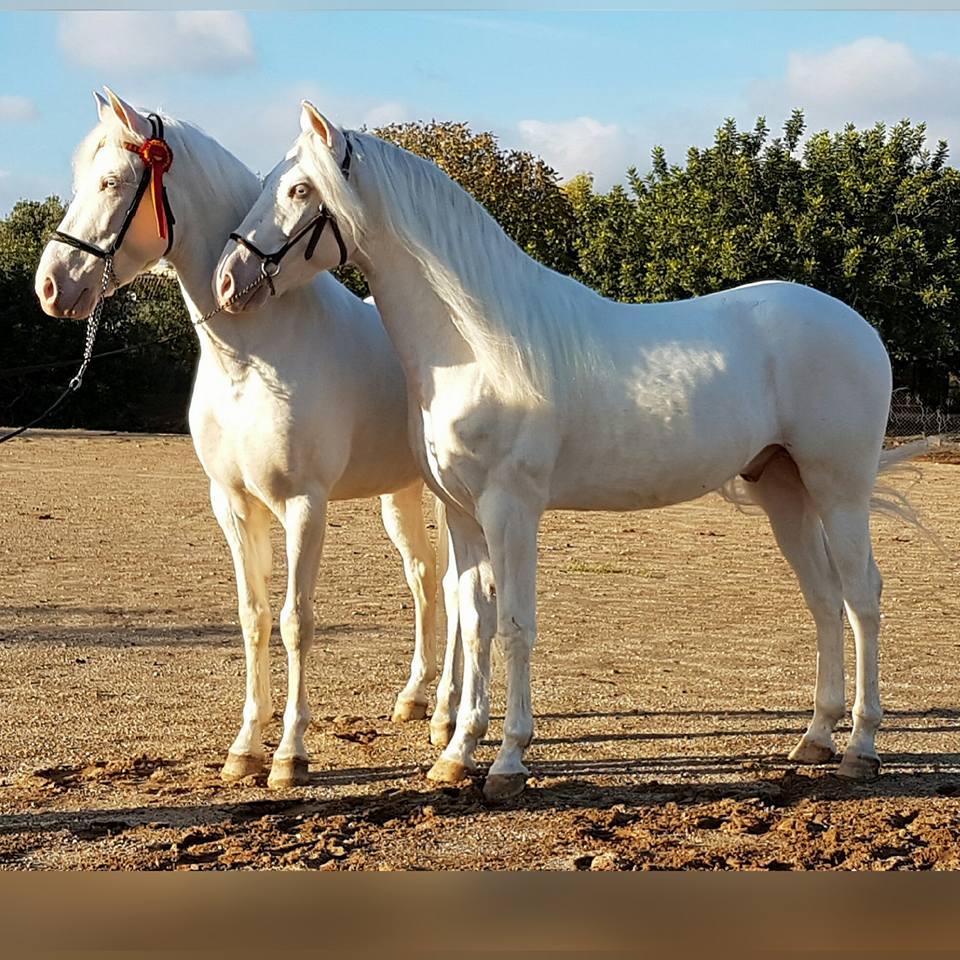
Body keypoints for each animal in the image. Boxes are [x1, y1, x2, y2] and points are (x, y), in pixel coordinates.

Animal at [34, 89, 464, 788]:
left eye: (112, 181)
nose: (51, 286)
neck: (255, 357)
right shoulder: (234, 504)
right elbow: (253, 616)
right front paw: (245, 748)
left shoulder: (305, 505)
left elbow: (295, 621)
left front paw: (290, 754)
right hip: (398, 496)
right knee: (426, 580)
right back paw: (414, 701)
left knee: (457, 590)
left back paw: (448, 719)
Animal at [217, 100, 928, 801]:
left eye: (300, 189)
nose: (230, 279)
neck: (479, 344)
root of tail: (859, 327)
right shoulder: (464, 514)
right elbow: (474, 623)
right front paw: (455, 754)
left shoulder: (512, 509)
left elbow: (514, 625)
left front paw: (508, 761)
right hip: (783, 490)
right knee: (824, 600)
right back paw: (814, 739)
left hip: (838, 488)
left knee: (862, 596)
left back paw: (860, 748)